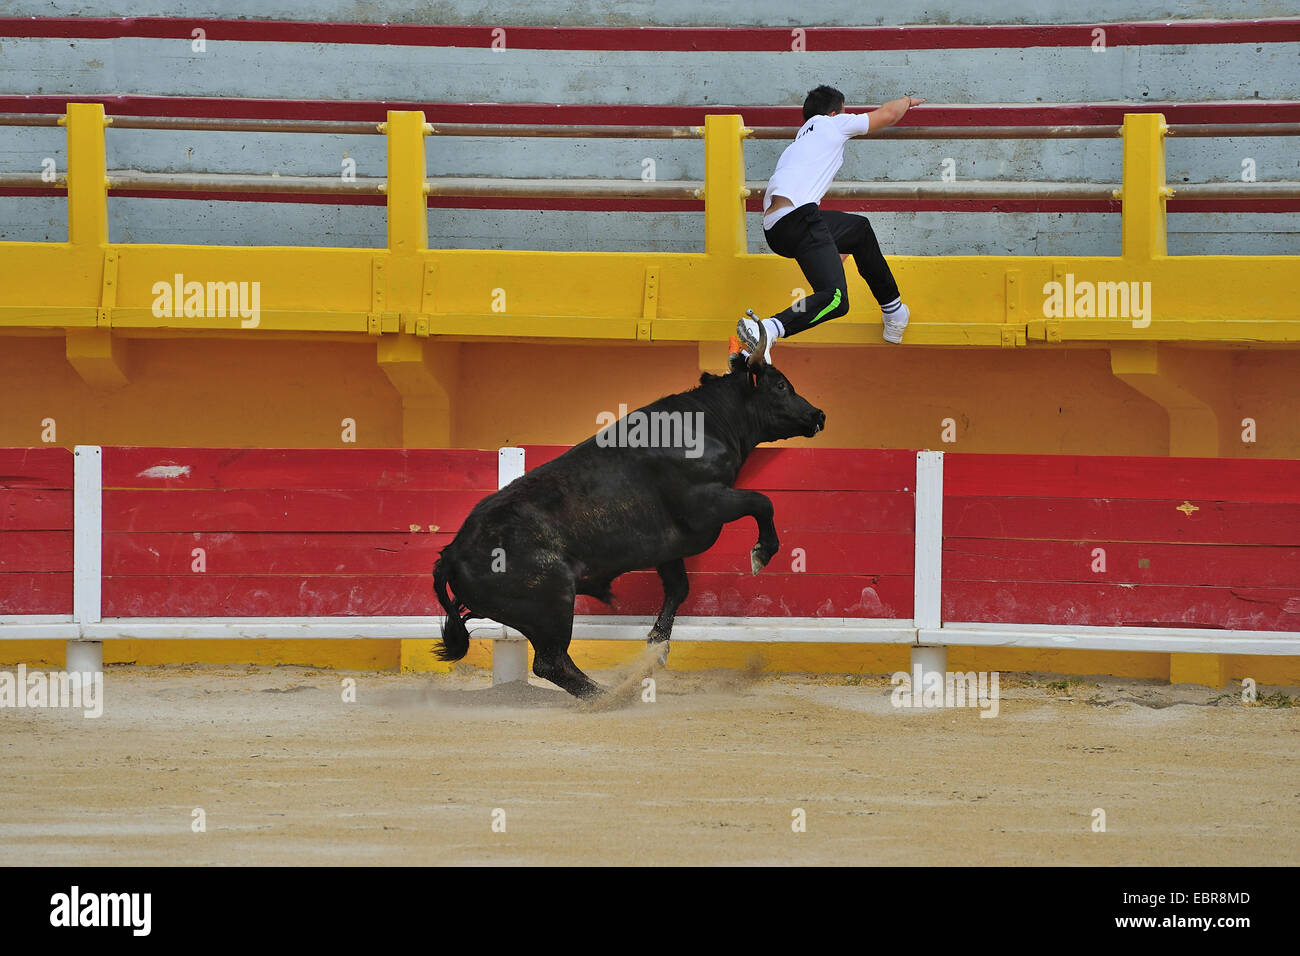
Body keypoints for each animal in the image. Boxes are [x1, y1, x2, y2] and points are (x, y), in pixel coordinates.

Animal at [431, 353, 826, 699]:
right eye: (781, 386)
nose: (818, 414)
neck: (708, 424)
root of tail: (452, 553)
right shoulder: (706, 503)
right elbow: (762, 502)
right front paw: (762, 552)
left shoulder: (669, 547)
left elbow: (678, 588)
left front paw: (657, 645)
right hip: (553, 603)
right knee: (551, 662)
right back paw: (608, 697)